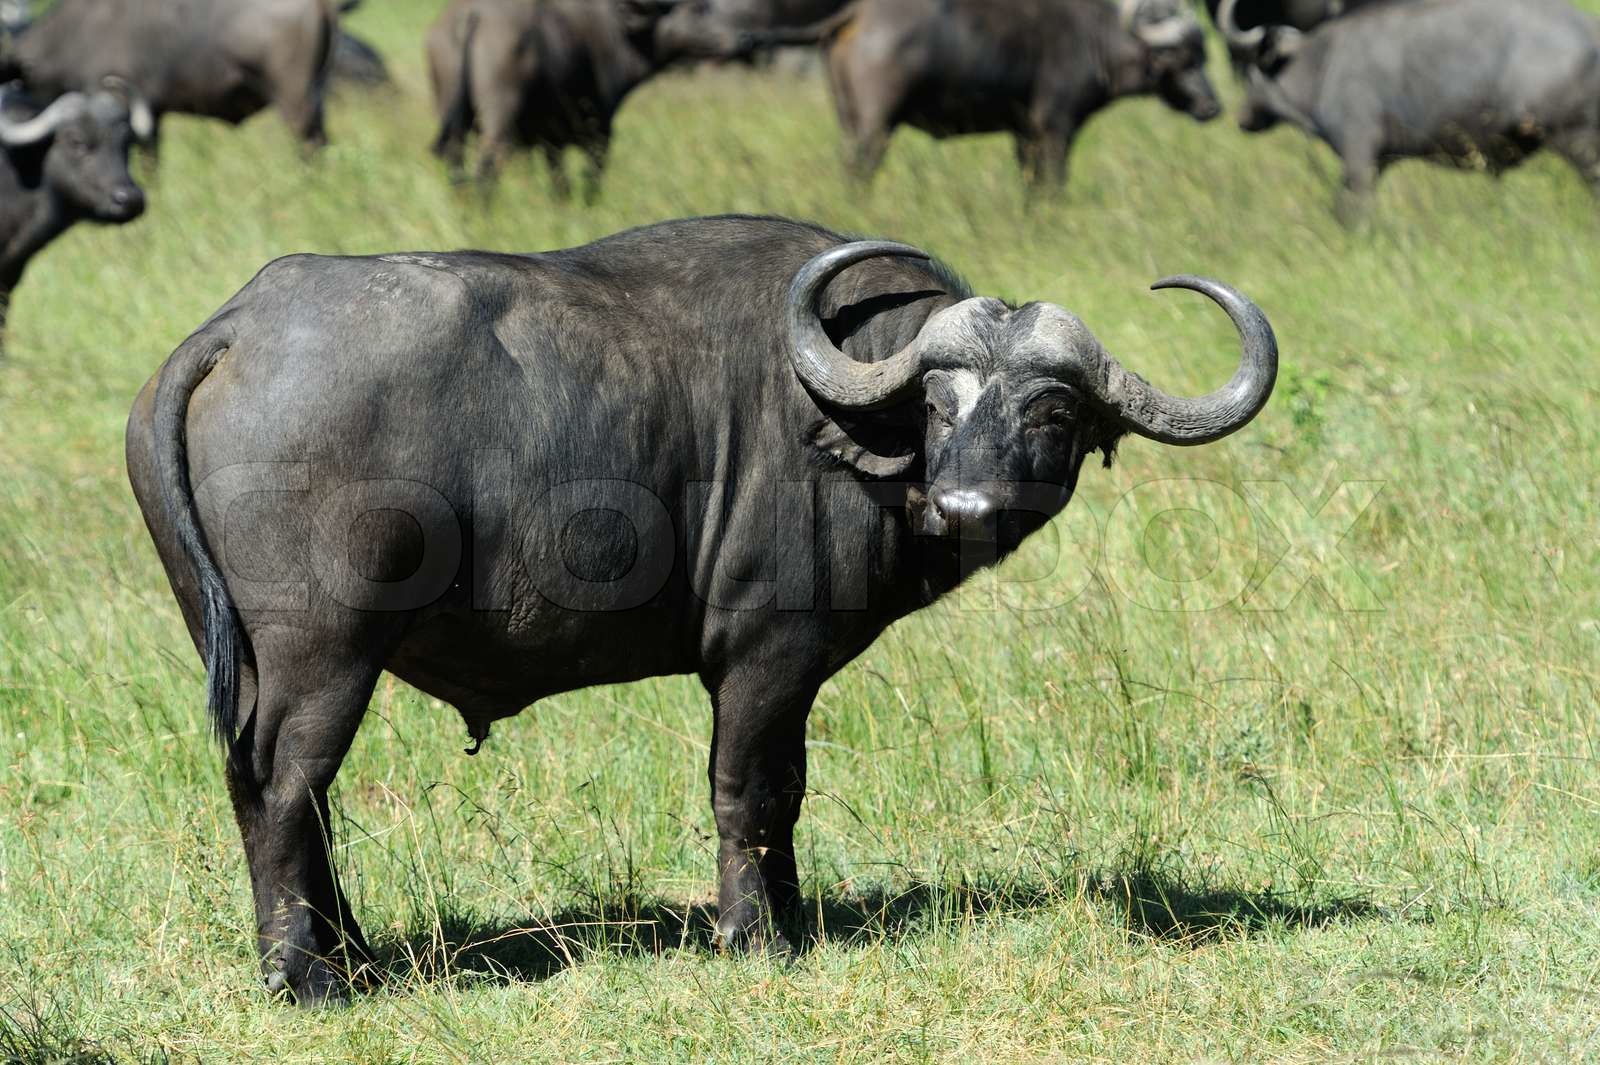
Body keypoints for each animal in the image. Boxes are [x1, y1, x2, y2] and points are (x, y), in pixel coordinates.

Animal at [127, 214, 1278, 1003]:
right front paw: (751, 935)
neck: (851, 427)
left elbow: (792, 794)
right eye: (938, 402)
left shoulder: (795, 673)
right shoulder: (763, 656)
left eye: (1050, 411)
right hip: (325, 654)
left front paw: (798, 919)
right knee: (282, 787)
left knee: (287, 790)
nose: (966, 504)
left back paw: (356, 954)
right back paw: (306, 977)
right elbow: (749, 793)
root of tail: (237, 331)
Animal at [428, 0, 684, 199]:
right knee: (488, 167)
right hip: (499, 119)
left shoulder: (552, 141)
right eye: (693, 9)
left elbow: (560, 183)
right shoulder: (599, 133)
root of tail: (469, 16)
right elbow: (589, 179)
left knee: (457, 164)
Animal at [775, 0, 1222, 191]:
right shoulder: (1054, 130)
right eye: (1181, 56)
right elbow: (1052, 185)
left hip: (848, 117)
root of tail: (858, 12)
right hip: (875, 125)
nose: (1212, 105)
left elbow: (1030, 184)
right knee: (860, 169)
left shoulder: (1025, 136)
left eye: (1204, 54)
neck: (1095, 38)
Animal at [1225, 0, 1600, 222]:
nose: (1241, 118)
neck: (1323, 62)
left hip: (1578, 142)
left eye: (1248, 71)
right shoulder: (1379, 162)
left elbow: (1350, 211)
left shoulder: (1359, 155)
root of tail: (1588, 29)